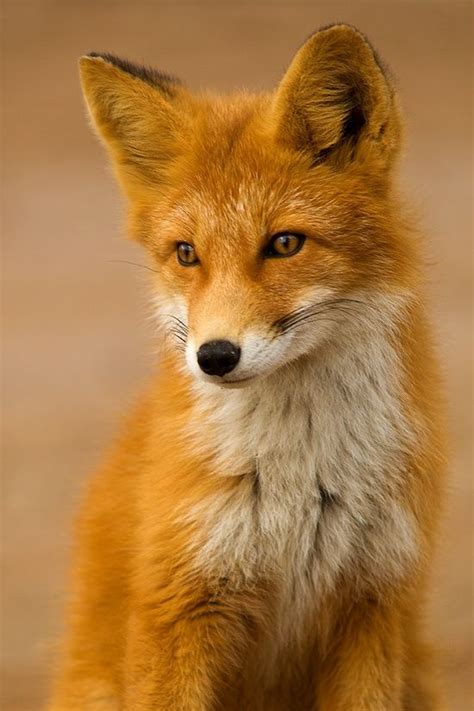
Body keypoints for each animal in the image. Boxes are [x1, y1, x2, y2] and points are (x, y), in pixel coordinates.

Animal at [48, 23, 446, 711]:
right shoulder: (179, 606)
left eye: (284, 243)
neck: (298, 483)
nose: (214, 357)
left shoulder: (372, 608)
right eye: (186, 254)